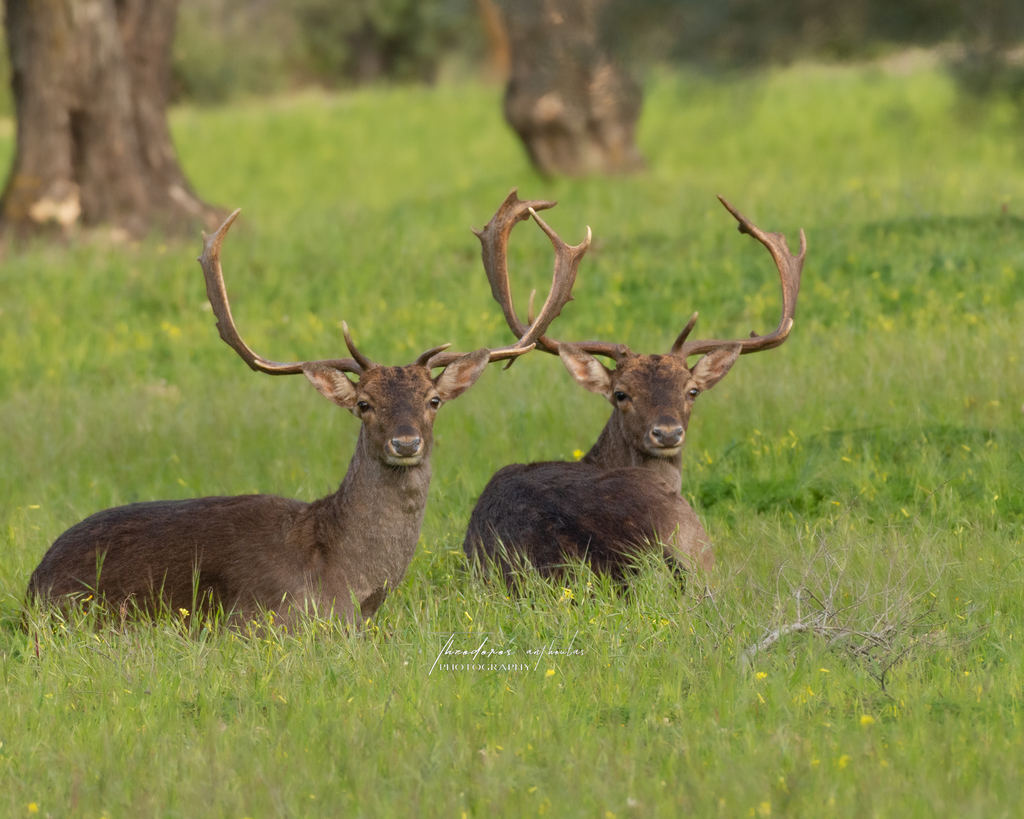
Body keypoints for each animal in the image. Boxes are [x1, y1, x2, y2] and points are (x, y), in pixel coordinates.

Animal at [27, 207, 573, 626]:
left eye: (433, 400)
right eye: (363, 404)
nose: (405, 442)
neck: (348, 584)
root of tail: (32, 583)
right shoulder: (259, 618)